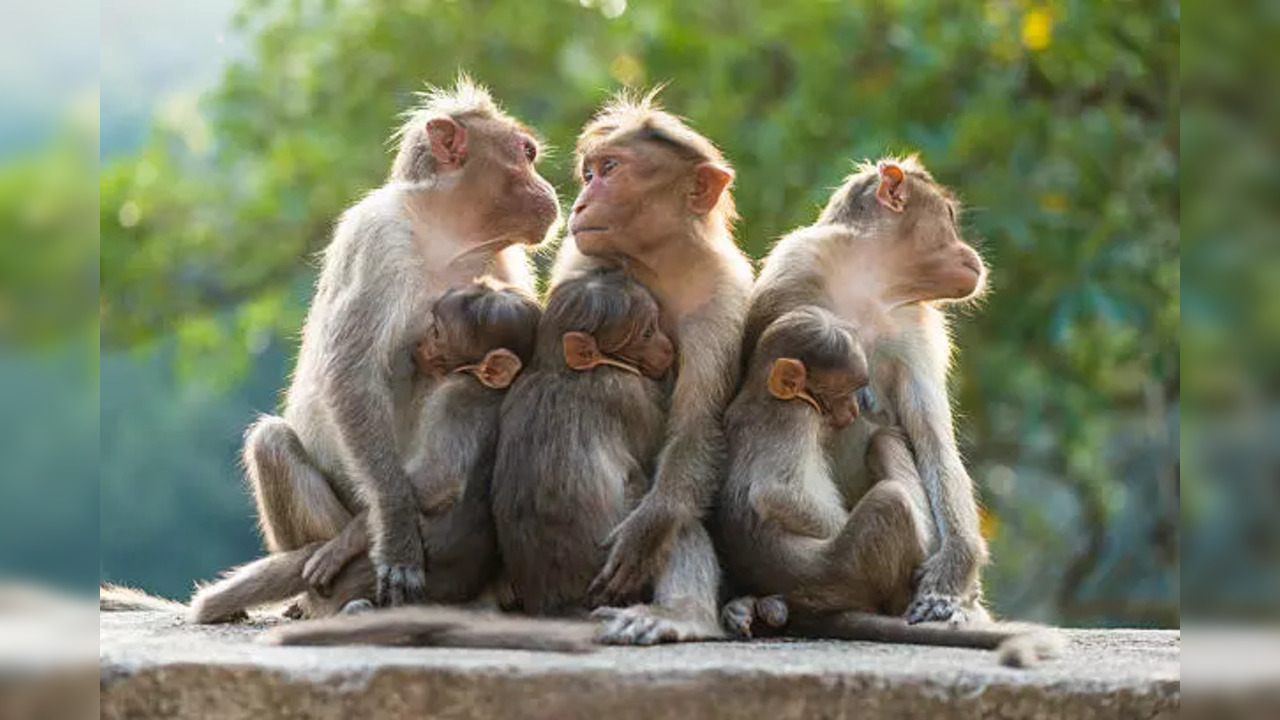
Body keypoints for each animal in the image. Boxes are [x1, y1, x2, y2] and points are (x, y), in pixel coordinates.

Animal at [184, 278, 541, 622]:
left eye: (438, 331)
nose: (420, 340)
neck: (489, 388)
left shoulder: (454, 399)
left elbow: (436, 481)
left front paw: (350, 544)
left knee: (270, 448)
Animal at [547, 90, 755, 644]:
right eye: (588, 172)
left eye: (610, 170)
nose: (581, 202)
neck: (661, 262)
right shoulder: (582, 260)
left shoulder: (723, 298)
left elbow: (696, 426)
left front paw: (649, 528)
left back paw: (683, 614)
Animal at [716, 307, 1061, 667]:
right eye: (843, 392)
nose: (855, 409)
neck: (760, 393)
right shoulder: (797, 418)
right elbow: (773, 493)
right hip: (845, 572)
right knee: (889, 490)